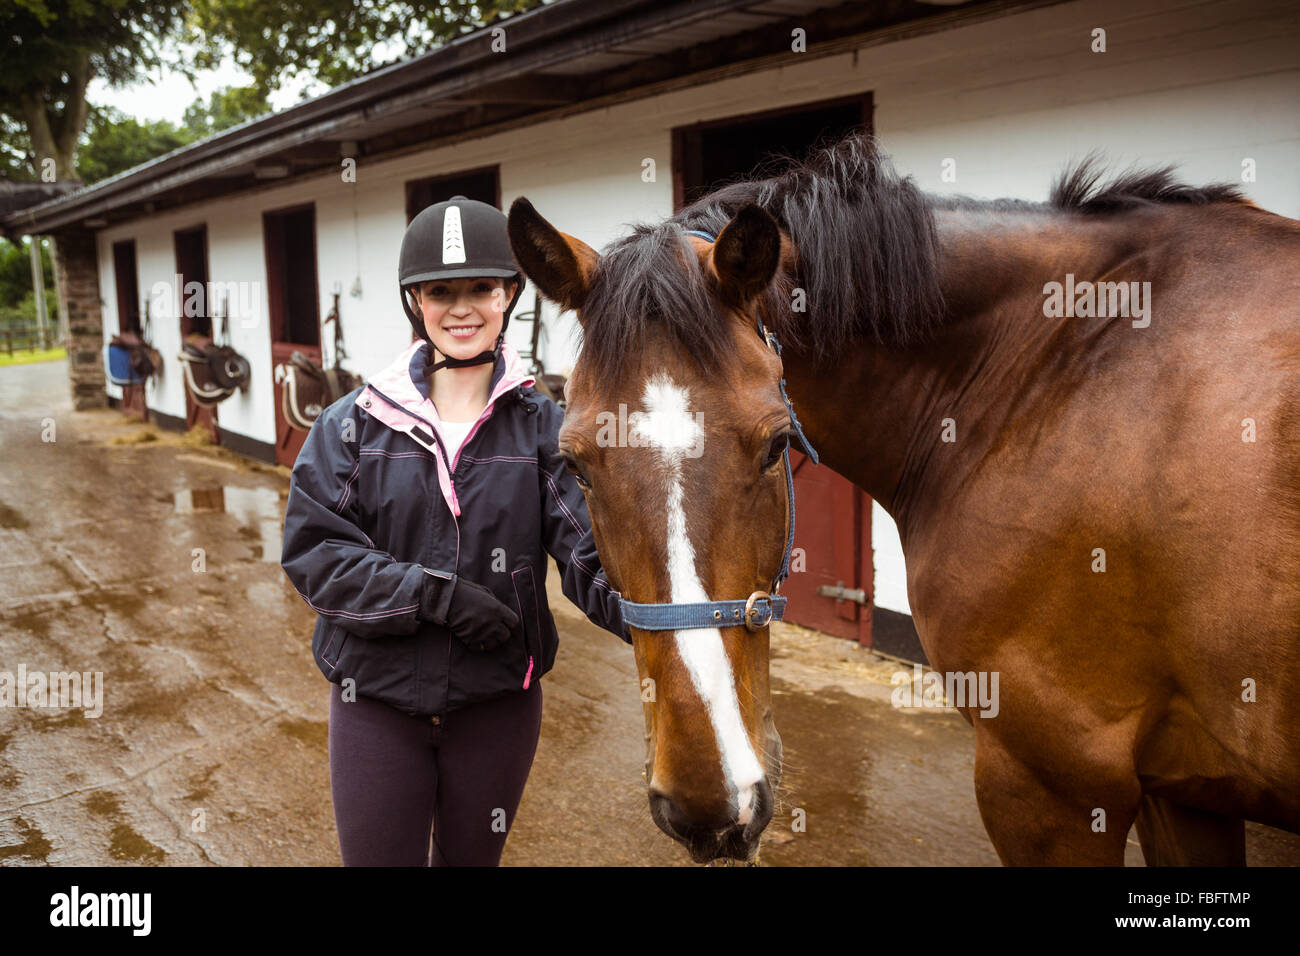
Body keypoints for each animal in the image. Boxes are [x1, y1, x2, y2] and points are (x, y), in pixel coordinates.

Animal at [506, 132, 1300, 865]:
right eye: (574, 465)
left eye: (775, 444)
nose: (708, 803)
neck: (1052, 369)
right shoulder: (1183, 793)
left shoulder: (1052, 781)